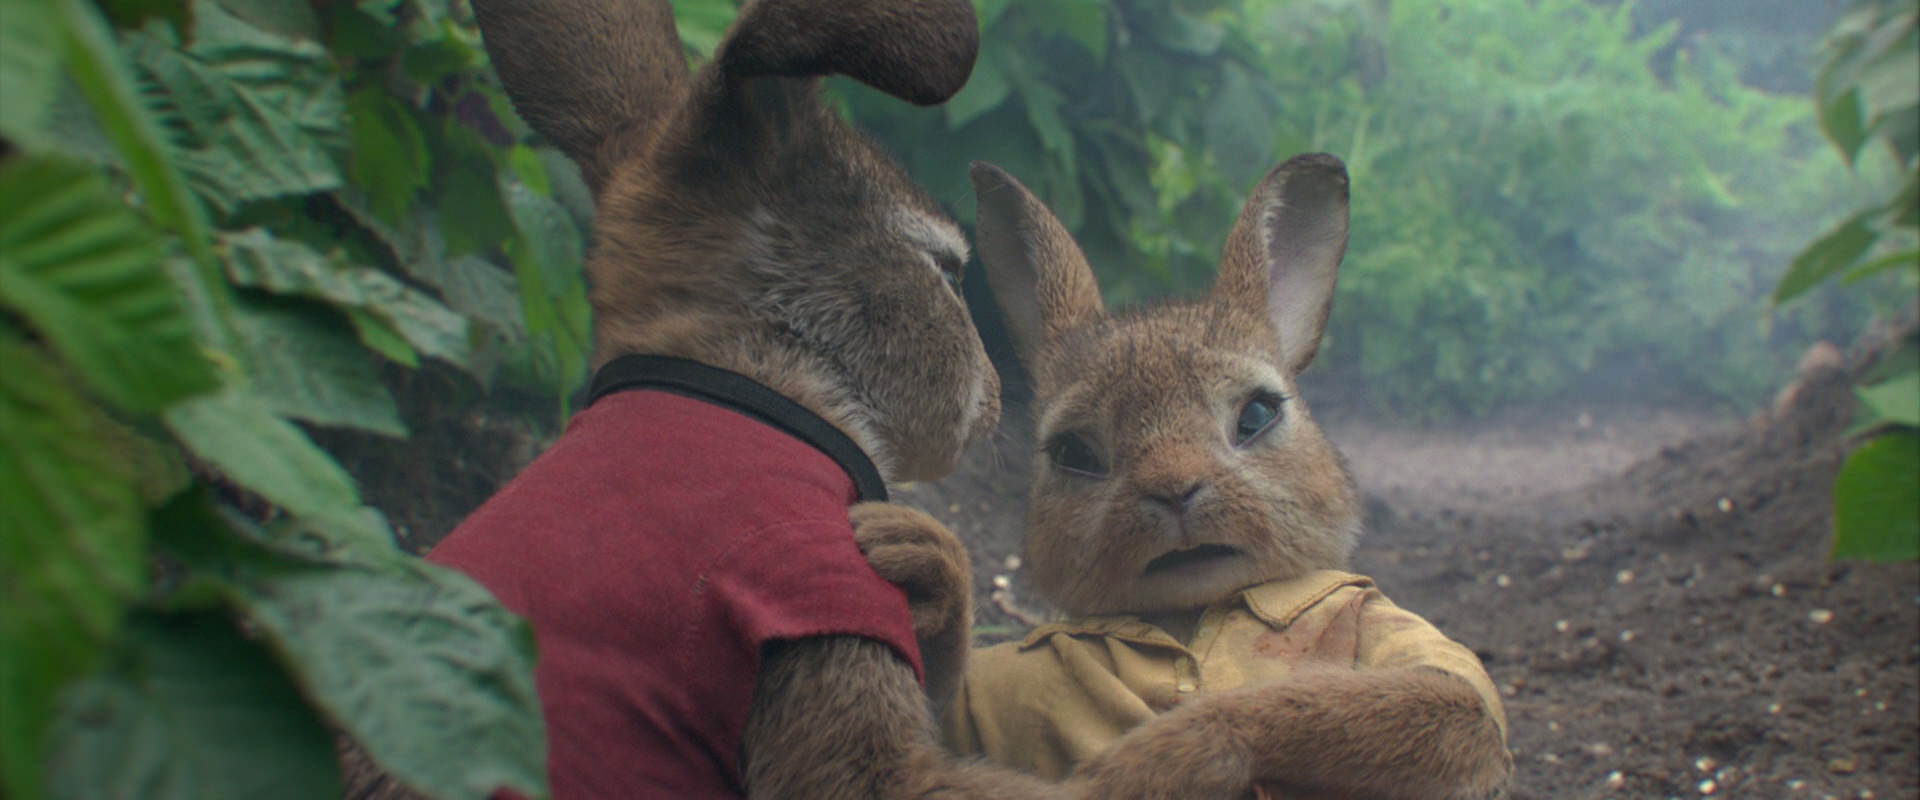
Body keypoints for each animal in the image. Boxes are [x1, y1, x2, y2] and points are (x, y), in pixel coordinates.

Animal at [933, 155, 1515, 800]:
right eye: (1073, 451)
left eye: (1258, 414)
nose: (1174, 489)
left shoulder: (1429, 681)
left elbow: (1437, 696)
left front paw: (1144, 765)